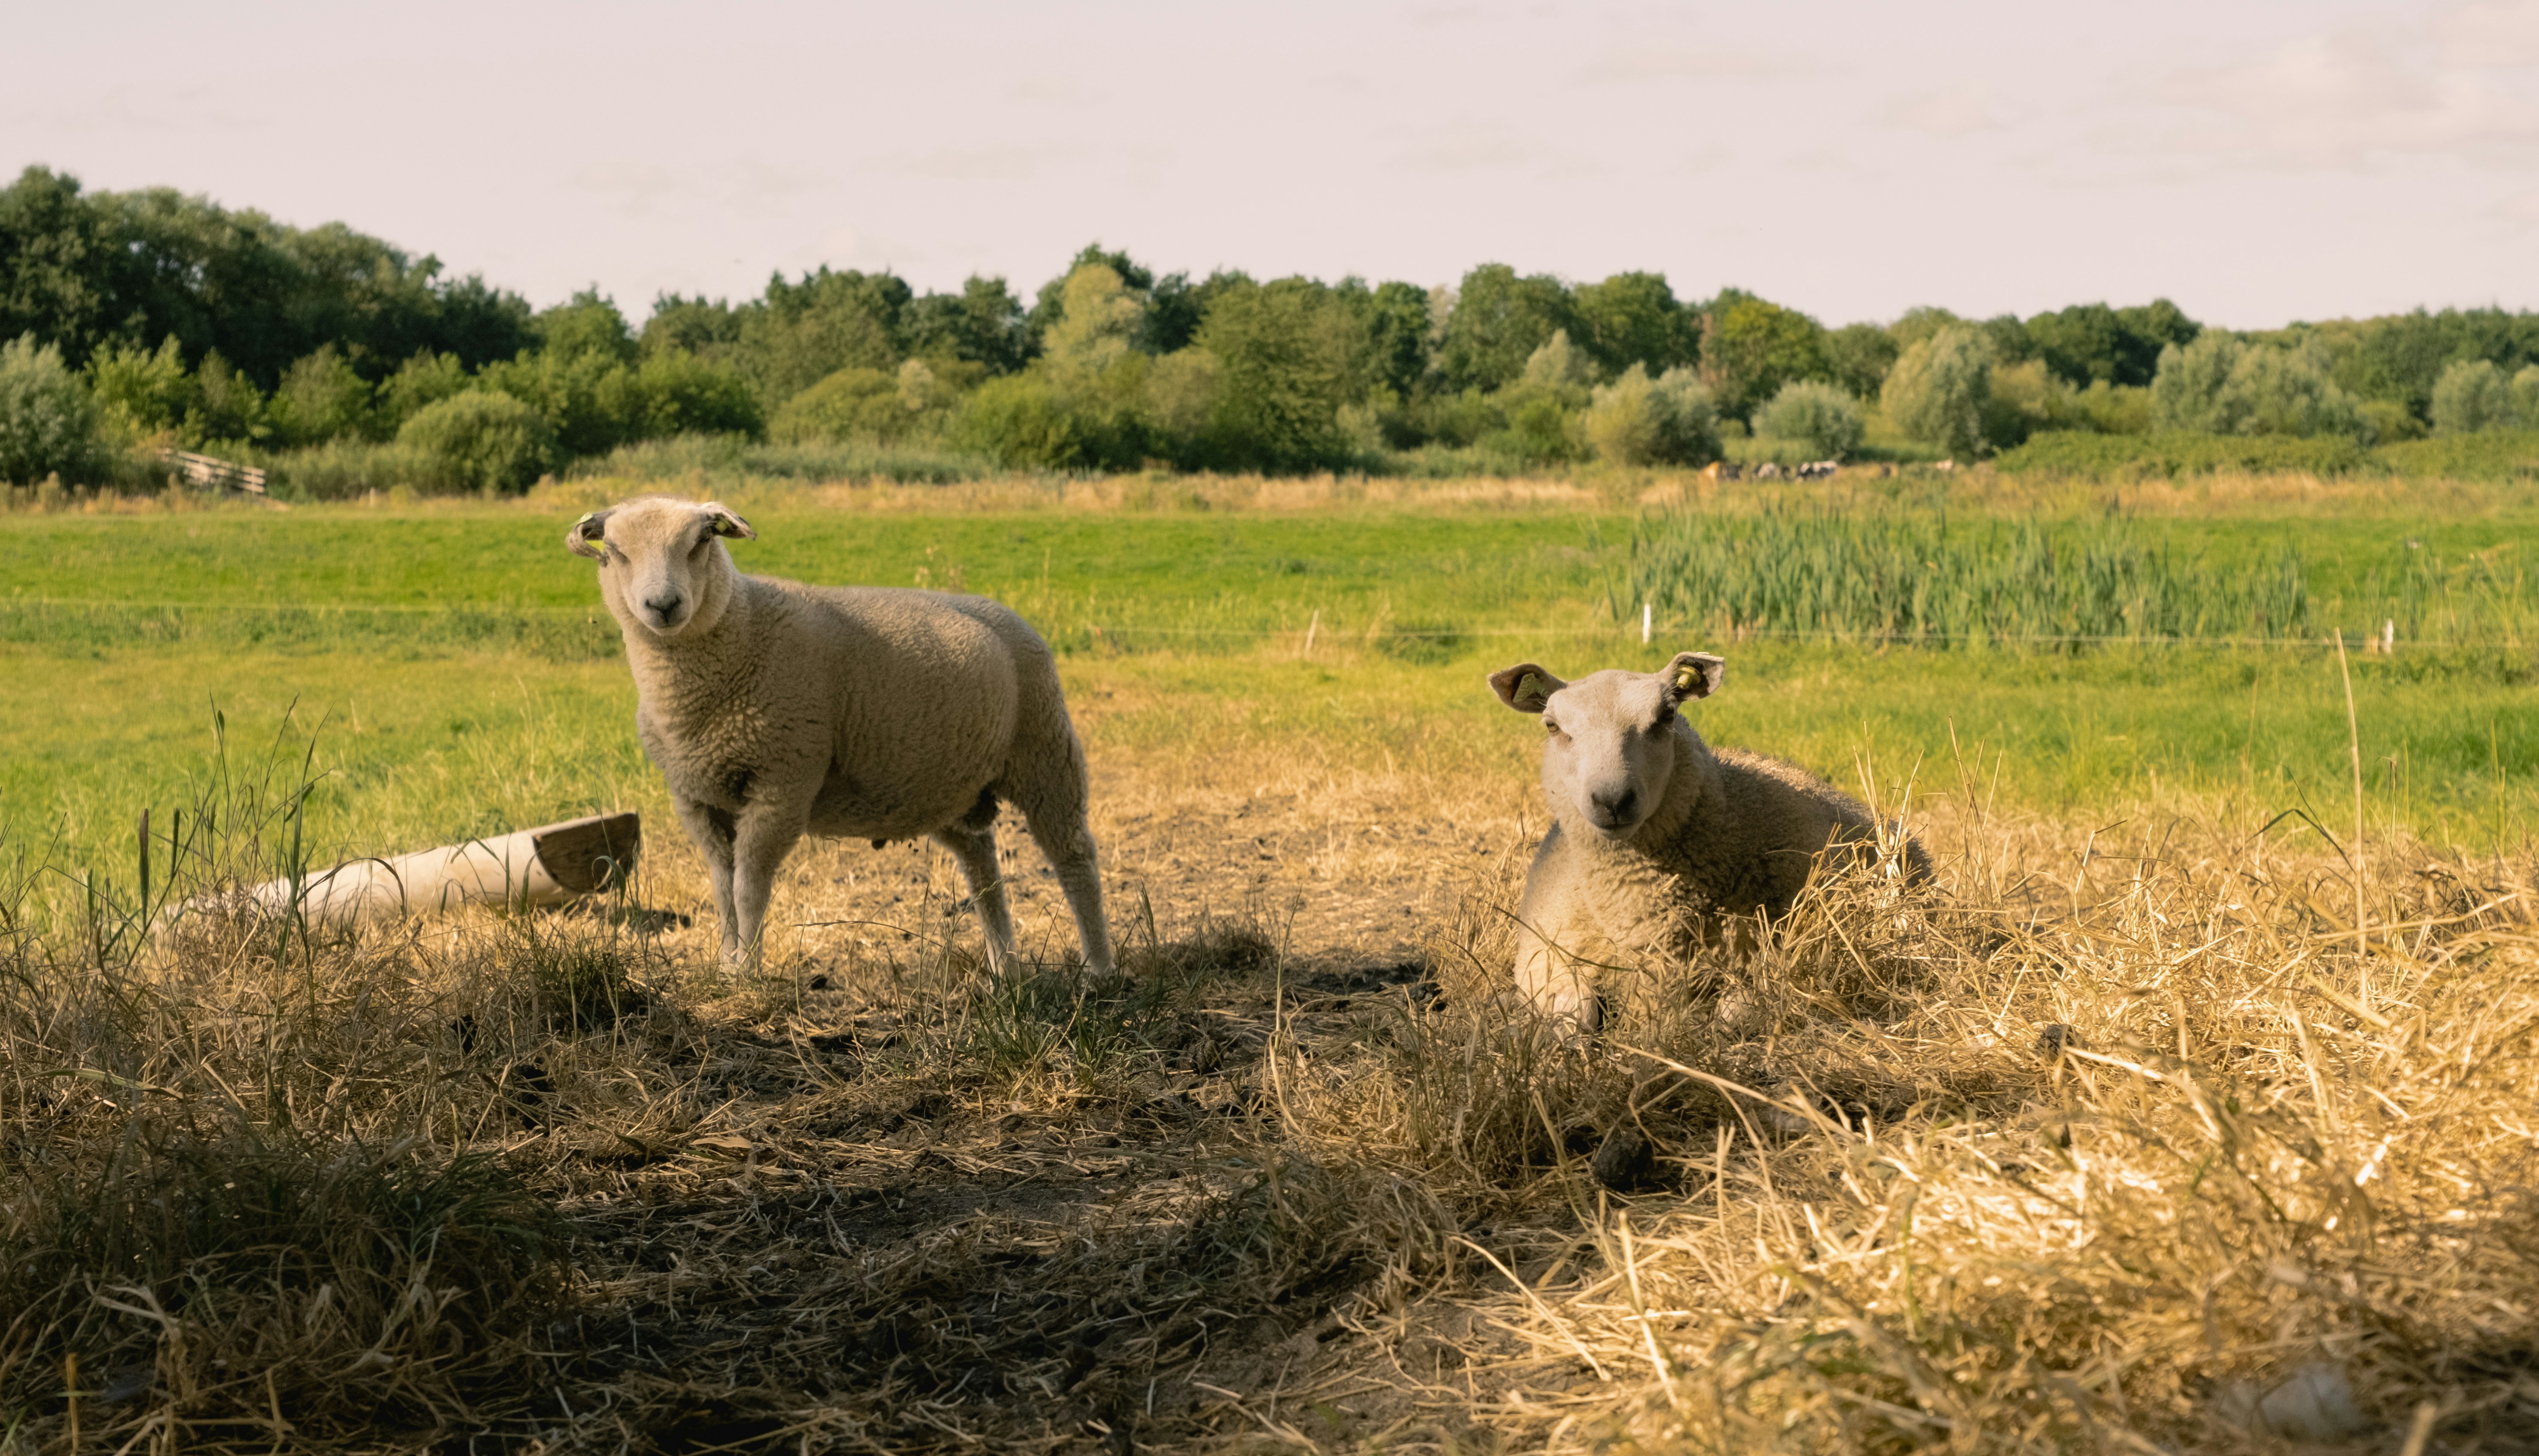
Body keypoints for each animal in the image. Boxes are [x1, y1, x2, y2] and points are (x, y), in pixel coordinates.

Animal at [566, 496, 1115, 978]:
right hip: (953, 789)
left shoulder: (783, 782)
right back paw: (1005, 969)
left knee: (1074, 857)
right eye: (614, 551)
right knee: (983, 870)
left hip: (1044, 748)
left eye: (702, 541)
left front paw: (747, 971)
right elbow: (722, 892)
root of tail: (1003, 611)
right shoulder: (696, 797)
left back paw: (1098, 968)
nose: (663, 605)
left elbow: (748, 889)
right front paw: (725, 965)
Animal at [1487, 651, 1930, 1031]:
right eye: (1552, 726)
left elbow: (1734, 1011)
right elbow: (1574, 1011)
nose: (1612, 800)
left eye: (1666, 716)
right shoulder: (1546, 958)